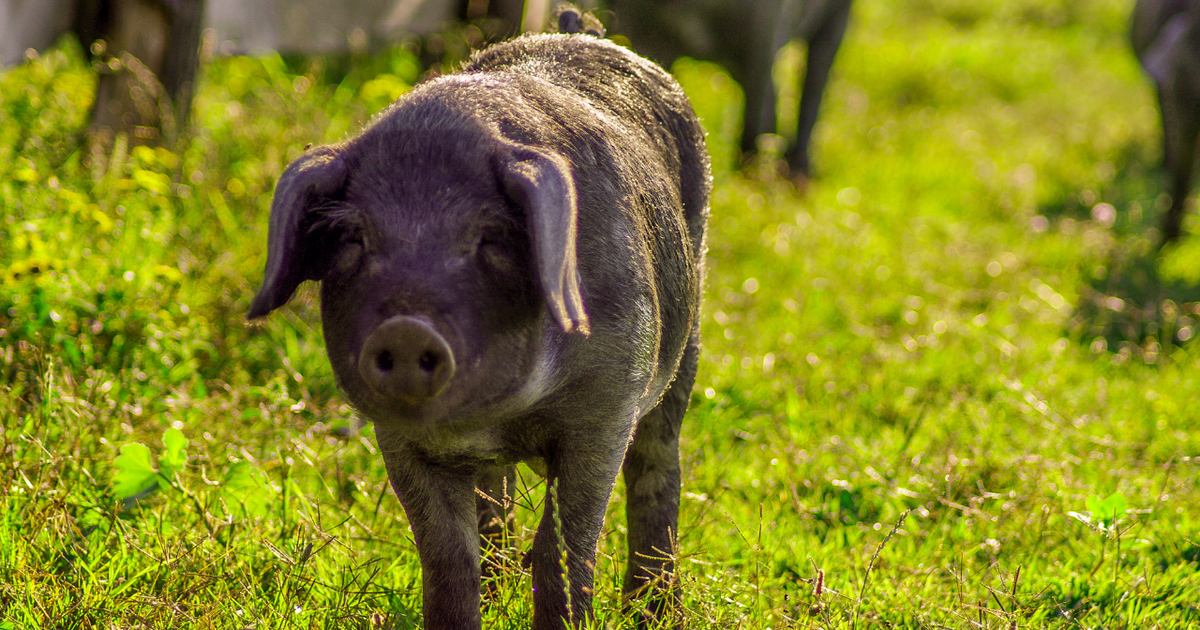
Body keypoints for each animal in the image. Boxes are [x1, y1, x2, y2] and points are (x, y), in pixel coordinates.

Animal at [247, 15, 710, 629]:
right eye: (353, 238)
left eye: (489, 237)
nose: (407, 327)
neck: (495, 418)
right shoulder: (401, 440)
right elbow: (447, 557)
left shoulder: (607, 408)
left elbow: (563, 548)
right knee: (497, 496)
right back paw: (500, 589)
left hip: (688, 335)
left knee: (658, 467)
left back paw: (653, 611)